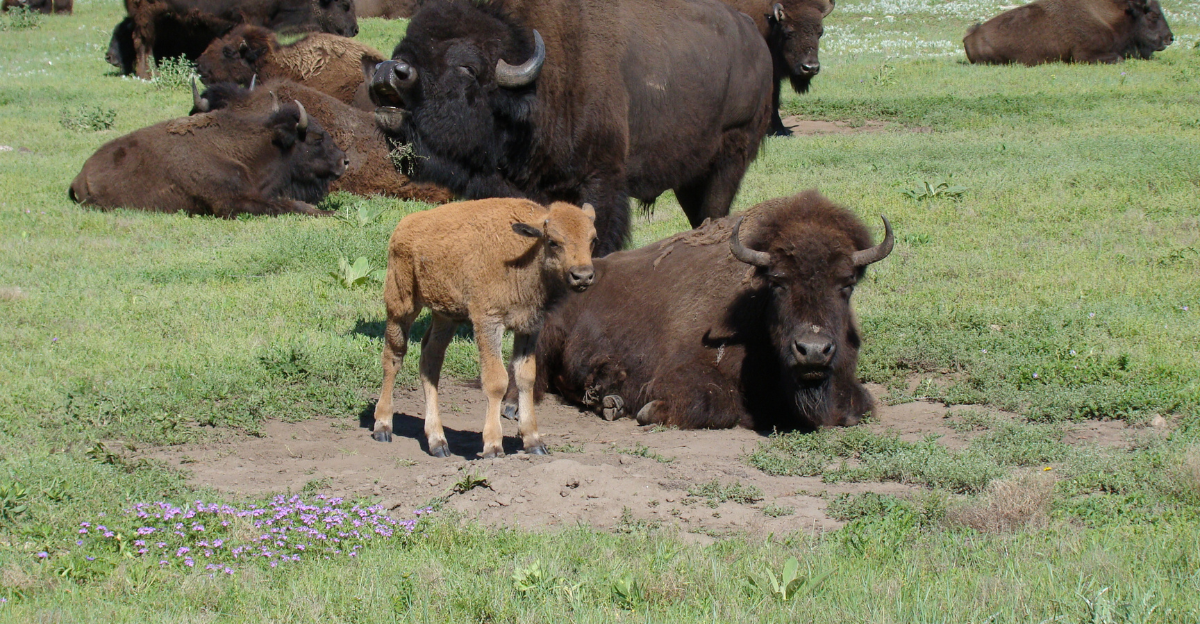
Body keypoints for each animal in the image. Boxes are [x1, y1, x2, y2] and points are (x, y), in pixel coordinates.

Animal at [70, 100, 347, 217]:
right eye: (316, 138)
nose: (344, 161)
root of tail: (80, 175)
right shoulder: (230, 202)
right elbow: (289, 205)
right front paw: (327, 213)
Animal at [122, 0, 359, 78]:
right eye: (345, 5)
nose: (354, 30)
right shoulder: (251, 17)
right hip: (146, 16)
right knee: (142, 42)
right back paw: (147, 74)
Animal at [366, 0, 773, 256]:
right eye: (403, 47)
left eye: (466, 66)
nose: (390, 71)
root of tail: (756, 40)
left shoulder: (601, 180)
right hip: (690, 176)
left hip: (729, 160)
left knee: (714, 211)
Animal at [508, 190, 893, 431]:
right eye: (778, 282)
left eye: (846, 284)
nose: (812, 351)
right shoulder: (680, 374)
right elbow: (715, 404)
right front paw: (650, 410)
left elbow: (857, 408)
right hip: (545, 334)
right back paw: (516, 407)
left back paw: (609, 402)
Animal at [723, 0, 835, 136]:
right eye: (789, 32)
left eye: (820, 32)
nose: (810, 68)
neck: (771, 24)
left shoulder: (775, 75)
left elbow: (775, 98)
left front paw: (781, 129)